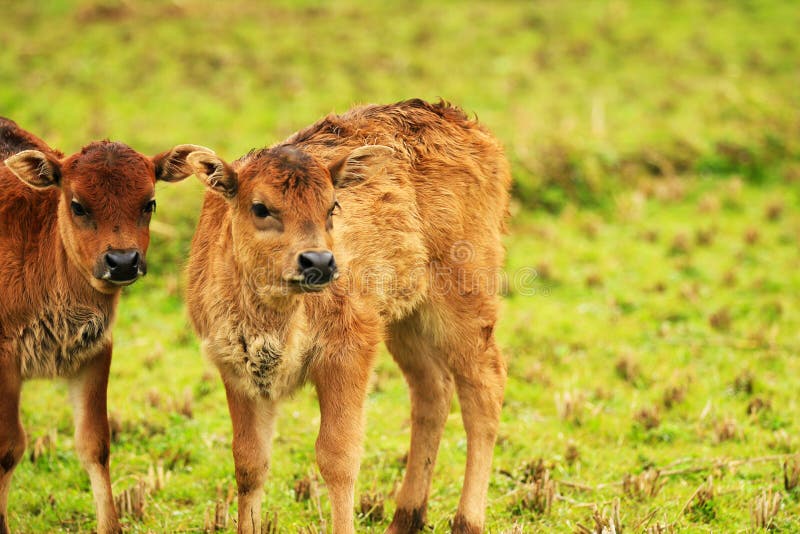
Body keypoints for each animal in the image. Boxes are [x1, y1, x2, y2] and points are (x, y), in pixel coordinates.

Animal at [0, 117, 206, 534]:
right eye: (78, 205)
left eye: (149, 203)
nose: (123, 261)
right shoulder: (5, 356)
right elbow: (9, 447)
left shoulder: (94, 352)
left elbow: (94, 444)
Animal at [184, 99, 510, 533]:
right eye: (260, 207)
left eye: (332, 207)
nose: (319, 261)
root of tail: (467, 126)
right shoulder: (236, 370)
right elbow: (250, 462)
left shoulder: (348, 352)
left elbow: (337, 457)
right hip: (404, 319)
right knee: (432, 389)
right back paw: (405, 518)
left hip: (463, 300)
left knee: (484, 386)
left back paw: (467, 521)